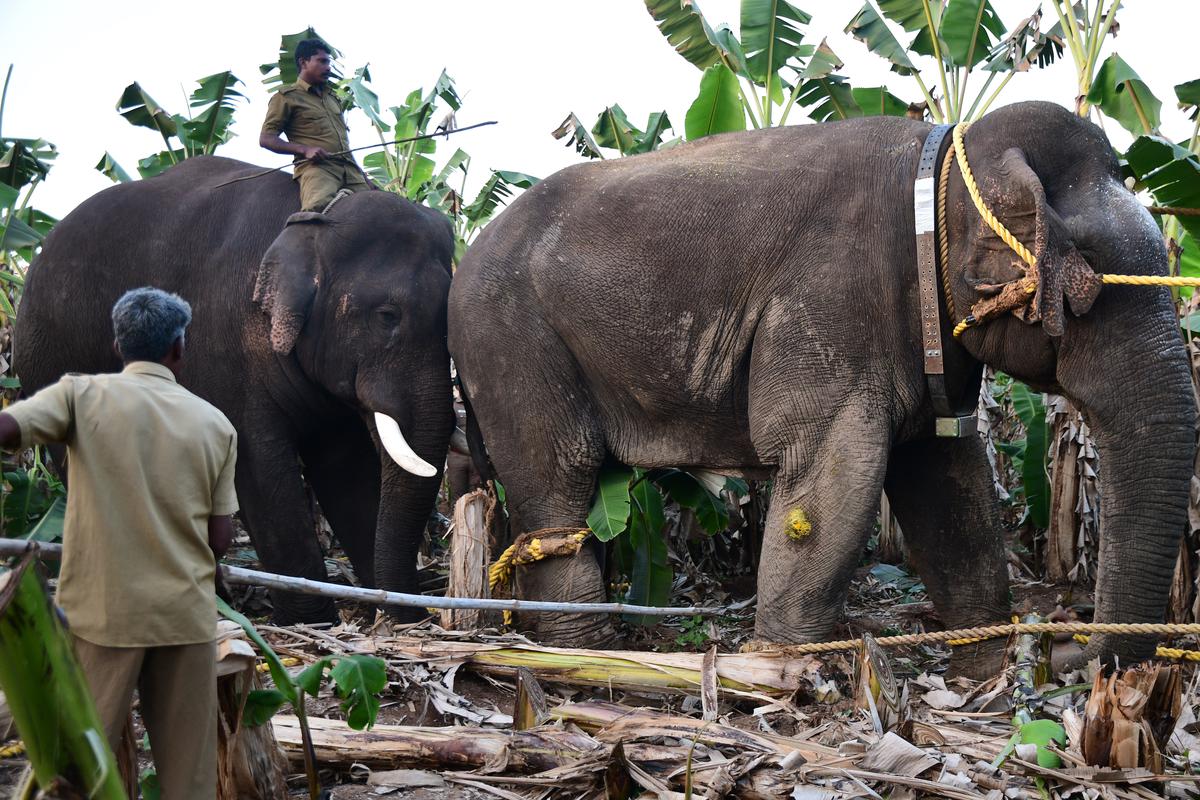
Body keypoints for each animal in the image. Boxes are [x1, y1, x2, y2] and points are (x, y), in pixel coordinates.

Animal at [17, 155, 455, 624]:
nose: (418, 612)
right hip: (48, 364)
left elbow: (345, 467)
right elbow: (257, 465)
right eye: (388, 315)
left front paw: (387, 612)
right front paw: (312, 620)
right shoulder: (223, 345)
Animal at [449, 101, 1195, 674]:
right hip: (509, 339)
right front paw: (782, 670)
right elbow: (833, 470)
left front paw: (981, 670)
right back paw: (584, 651)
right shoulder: (833, 300)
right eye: (1087, 275)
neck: (939, 166)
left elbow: (947, 477)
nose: (1076, 653)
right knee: (560, 478)